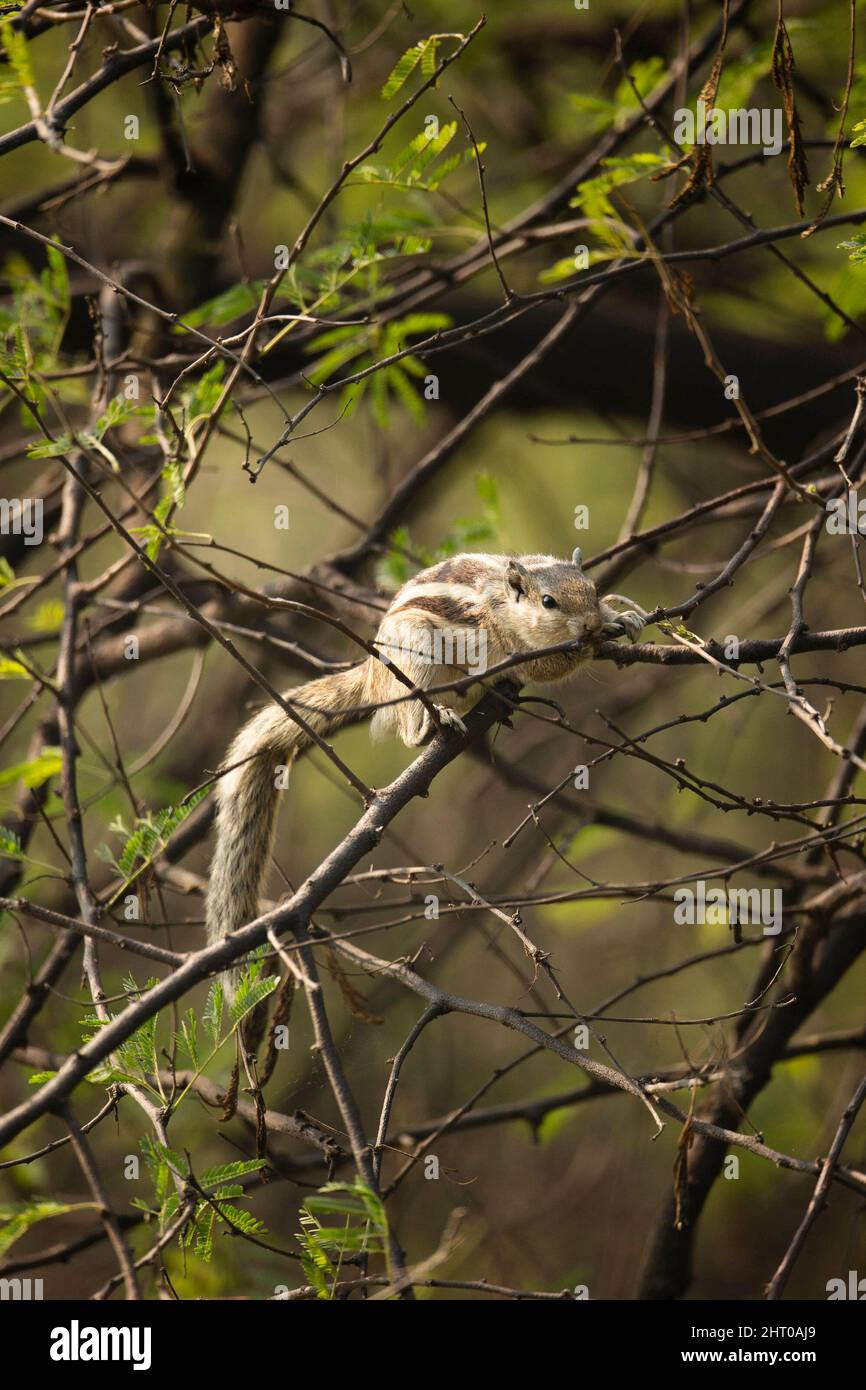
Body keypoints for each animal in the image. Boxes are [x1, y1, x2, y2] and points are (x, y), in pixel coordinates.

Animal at [205, 549, 645, 969]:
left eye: (592, 588)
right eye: (549, 602)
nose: (589, 624)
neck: (506, 601)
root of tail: (372, 677)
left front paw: (622, 614)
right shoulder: (513, 643)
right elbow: (546, 664)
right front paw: (601, 633)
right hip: (414, 655)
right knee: (409, 722)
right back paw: (434, 723)